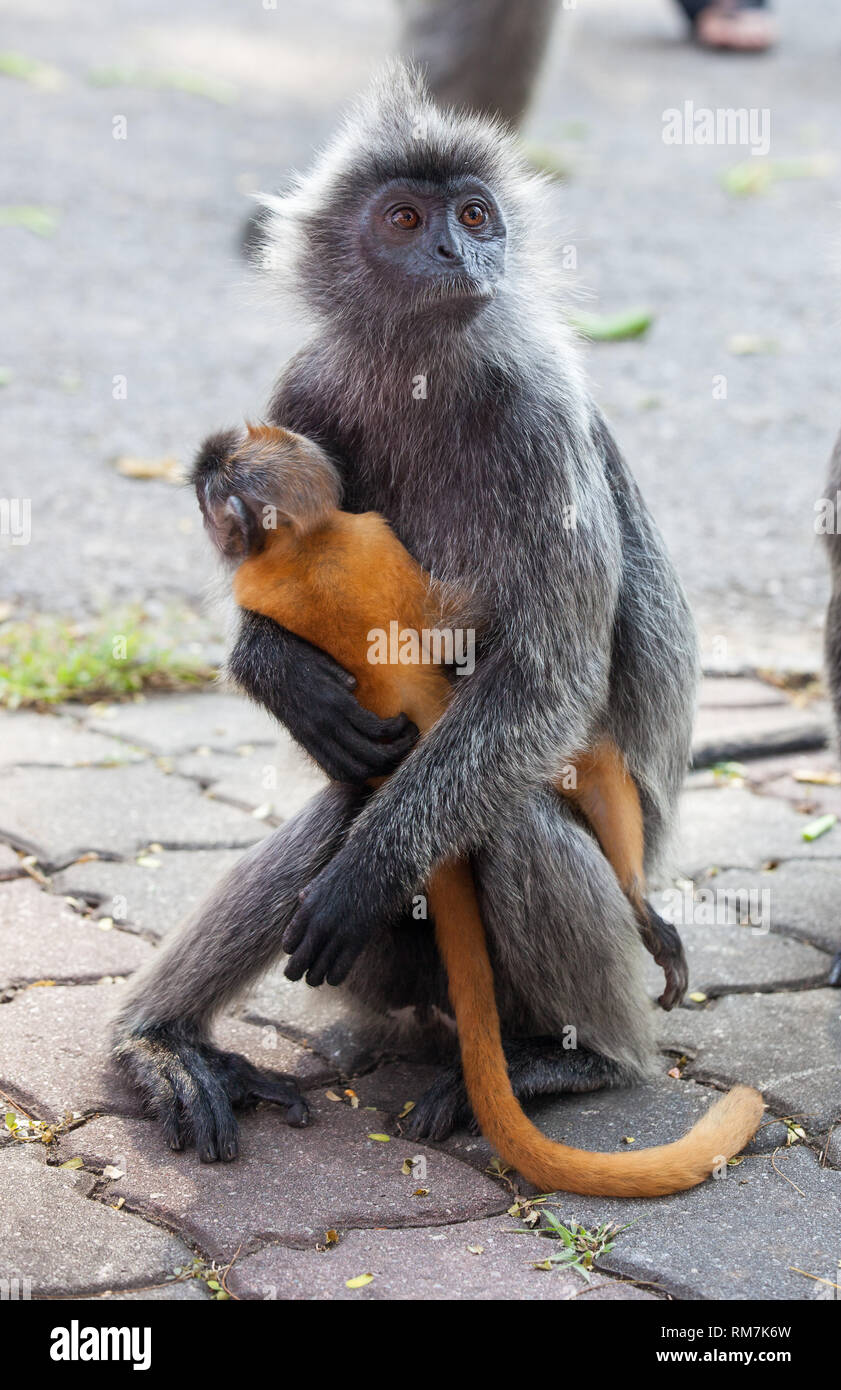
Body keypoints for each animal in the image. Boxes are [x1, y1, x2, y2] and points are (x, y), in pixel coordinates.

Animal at [113, 64, 718, 1166]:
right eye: (404, 218)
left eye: (473, 214)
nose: (456, 250)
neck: (425, 367)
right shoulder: (304, 389)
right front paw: (277, 670)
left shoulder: (538, 416)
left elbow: (544, 683)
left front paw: (369, 872)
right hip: (394, 969)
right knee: (345, 788)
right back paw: (161, 1043)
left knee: (507, 813)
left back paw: (582, 1060)